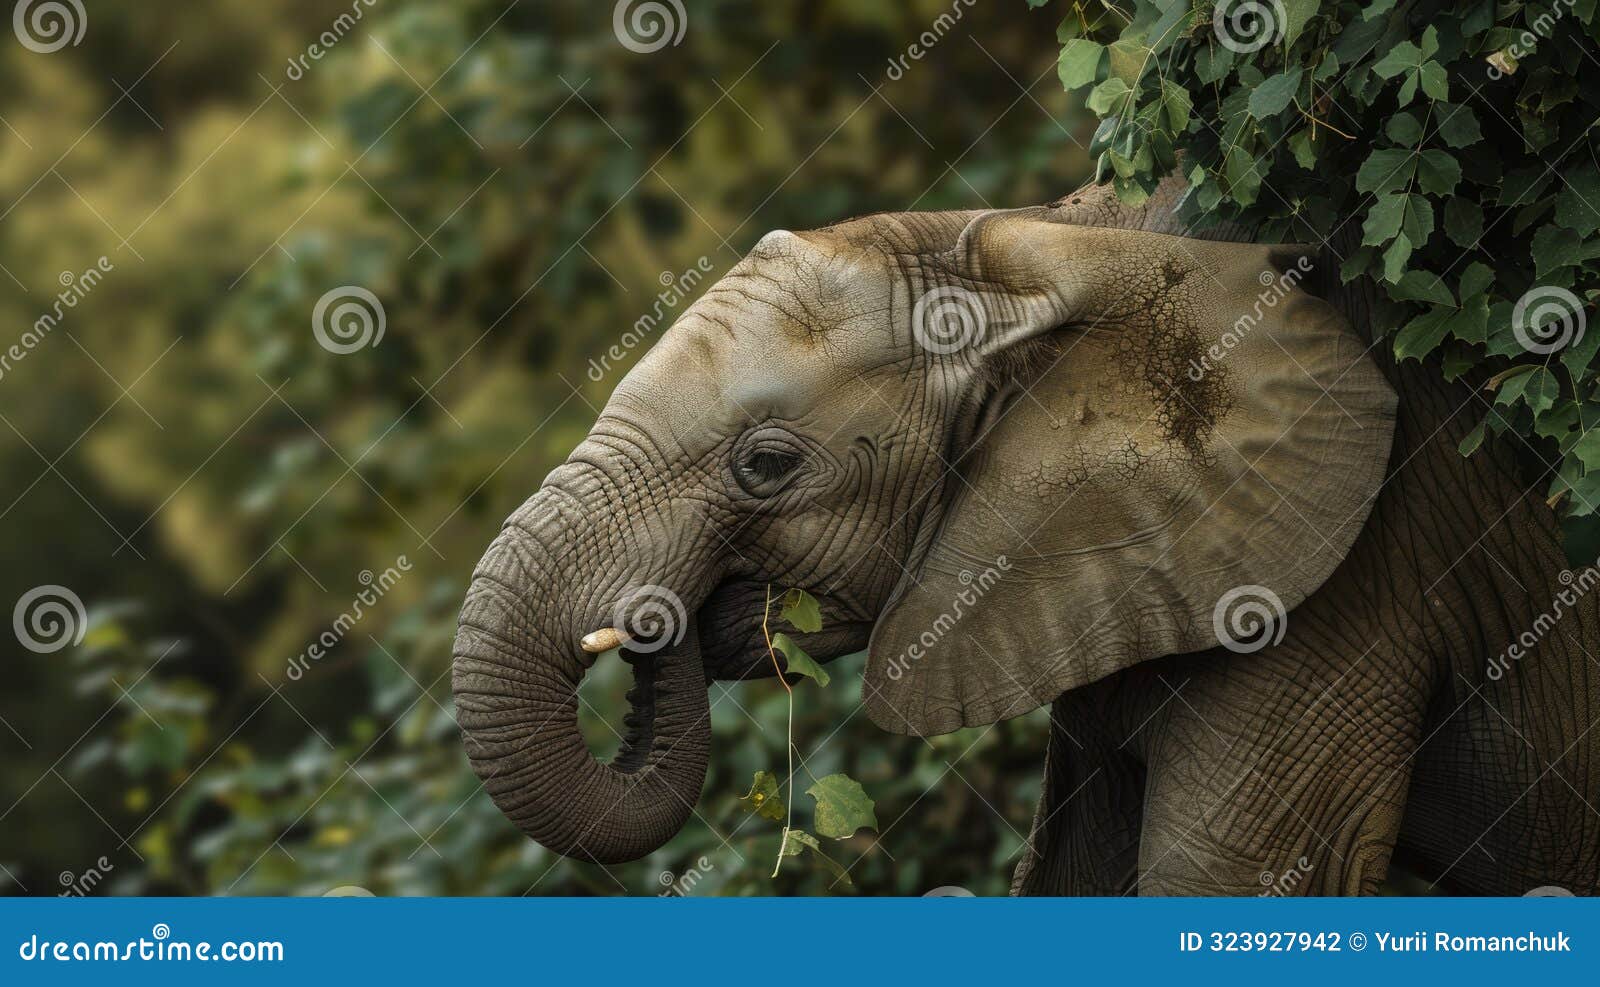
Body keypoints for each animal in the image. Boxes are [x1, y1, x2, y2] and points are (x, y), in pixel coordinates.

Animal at [451, 177, 1600, 896]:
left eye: (766, 466)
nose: (659, 619)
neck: (1056, 234)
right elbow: (1071, 875)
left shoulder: (1341, 575)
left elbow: (1224, 882)